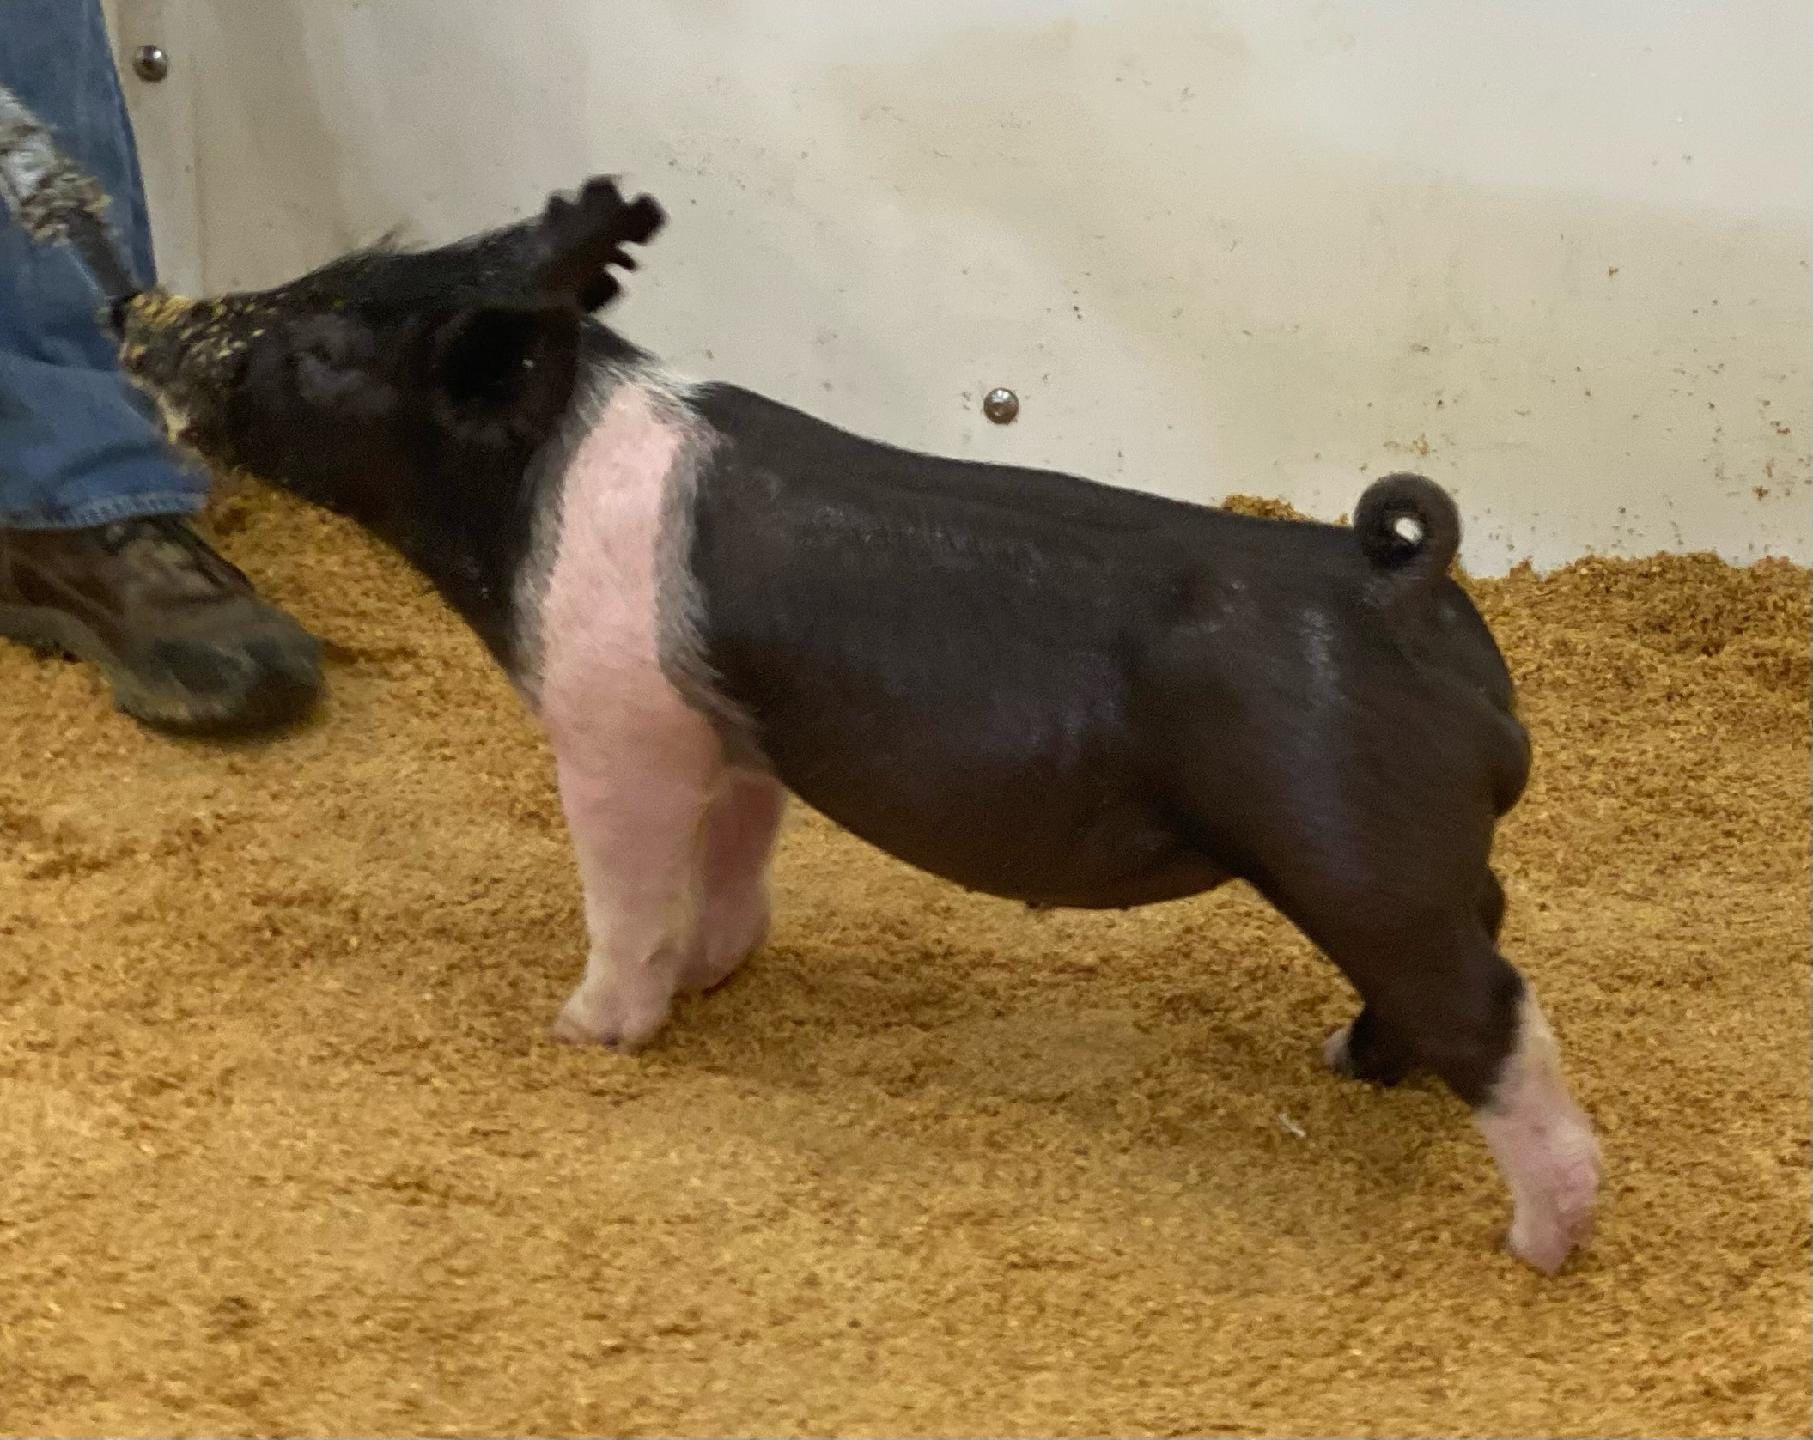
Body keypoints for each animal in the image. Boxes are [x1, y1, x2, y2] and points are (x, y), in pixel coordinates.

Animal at [117, 176, 1600, 1274]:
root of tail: (1400, 581)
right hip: (1412, 860)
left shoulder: (617, 720)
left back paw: (1538, 1243)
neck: (530, 488)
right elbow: (732, 863)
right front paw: (713, 974)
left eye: (317, 348)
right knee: (1486, 931)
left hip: (1350, 848)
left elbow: (624, 890)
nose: (141, 313)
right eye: (313, 279)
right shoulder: (735, 737)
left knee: (1492, 1010)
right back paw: (1350, 1062)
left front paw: (587, 1030)